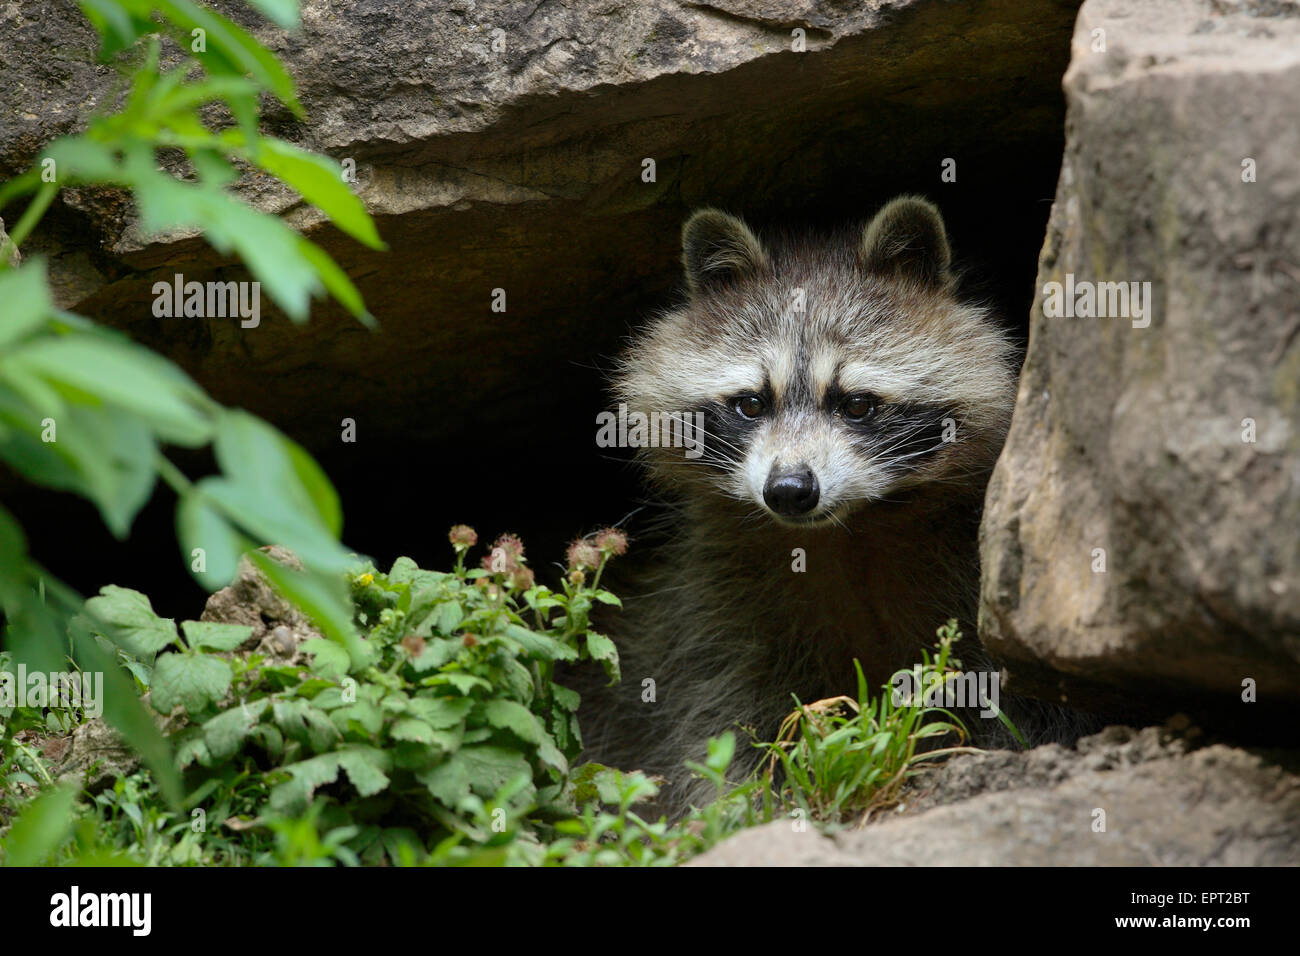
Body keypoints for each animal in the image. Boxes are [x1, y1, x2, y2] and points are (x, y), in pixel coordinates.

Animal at [577, 196, 1084, 817]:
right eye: (751, 403)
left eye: (857, 404)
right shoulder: (711, 597)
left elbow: (1018, 698)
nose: (790, 489)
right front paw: (740, 801)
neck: (847, 530)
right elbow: (717, 709)